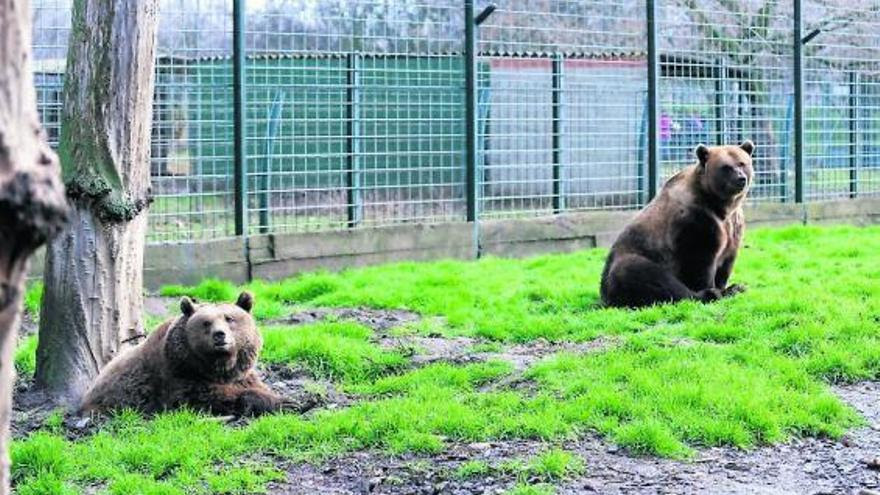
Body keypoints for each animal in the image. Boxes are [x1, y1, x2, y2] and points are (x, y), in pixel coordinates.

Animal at [79, 291, 281, 416]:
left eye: (229, 318)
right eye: (206, 322)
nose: (219, 335)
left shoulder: (240, 374)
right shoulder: (178, 376)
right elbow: (208, 396)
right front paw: (281, 402)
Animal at [599, 140, 755, 308]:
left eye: (742, 163)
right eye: (725, 167)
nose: (740, 178)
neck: (720, 206)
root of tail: (605, 297)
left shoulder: (733, 226)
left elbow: (726, 262)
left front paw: (725, 286)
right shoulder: (696, 220)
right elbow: (699, 261)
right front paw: (714, 289)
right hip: (631, 260)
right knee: (642, 273)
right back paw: (713, 293)